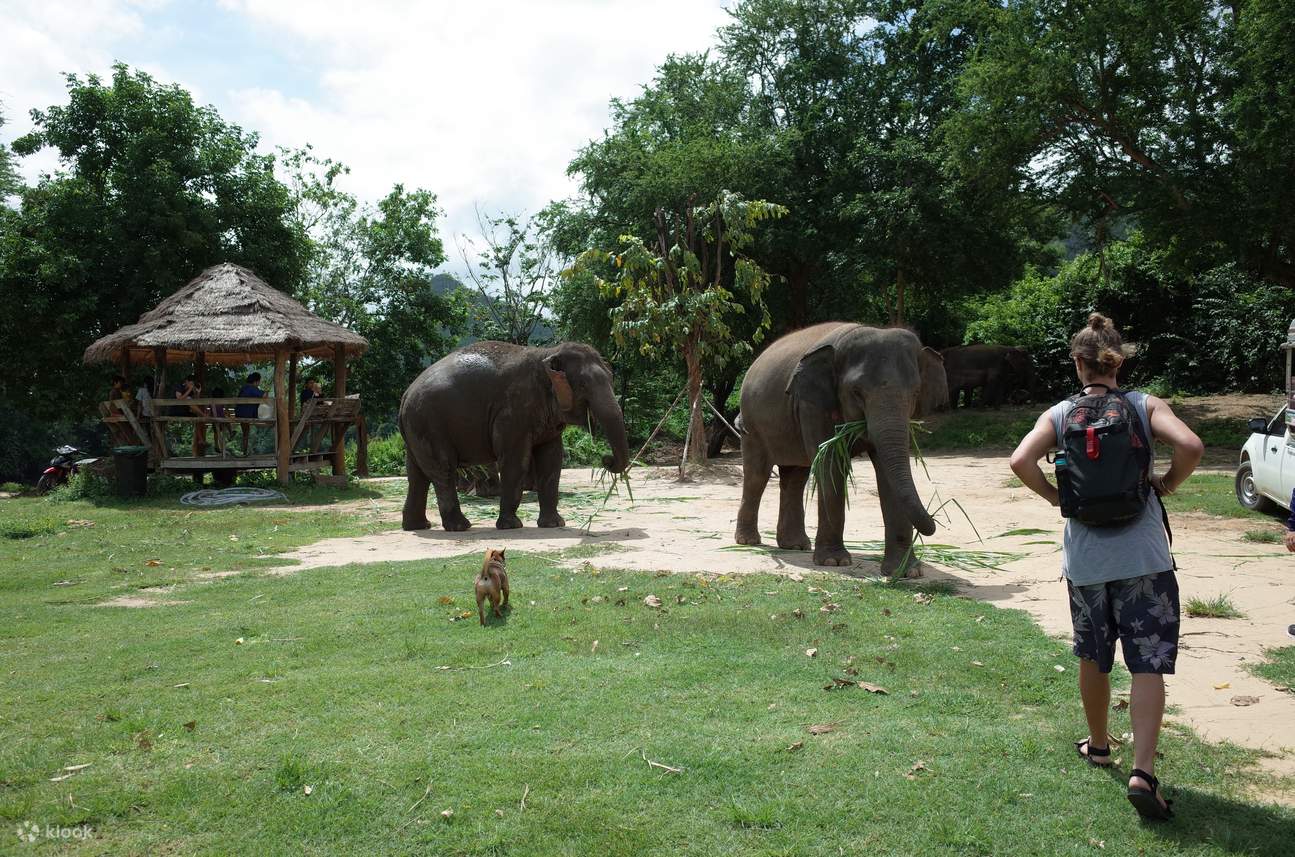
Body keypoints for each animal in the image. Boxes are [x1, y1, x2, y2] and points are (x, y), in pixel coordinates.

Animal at [399, 340, 630, 531]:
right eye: (583, 385)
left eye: (611, 380)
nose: (606, 459)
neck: (548, 352)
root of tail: (405, 396)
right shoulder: (513, 412)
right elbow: (514, 460)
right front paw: (511, 526)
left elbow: (552, 460)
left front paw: (554, 524)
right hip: (429, 424)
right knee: (442, 470)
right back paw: (460, 527)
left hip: (416, 430)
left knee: (417, 475)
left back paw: (418, 526)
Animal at [735, 322, 940, 573]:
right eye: (856, 392)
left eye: (916, 392)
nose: (934, 523)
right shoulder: (812, 406)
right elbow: (830, 465)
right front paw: (834, 562)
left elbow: (886, 472)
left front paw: (907, 572)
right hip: (752, 424)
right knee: (757, 475)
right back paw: (748, 541)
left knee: (795, 477)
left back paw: (795, 546)